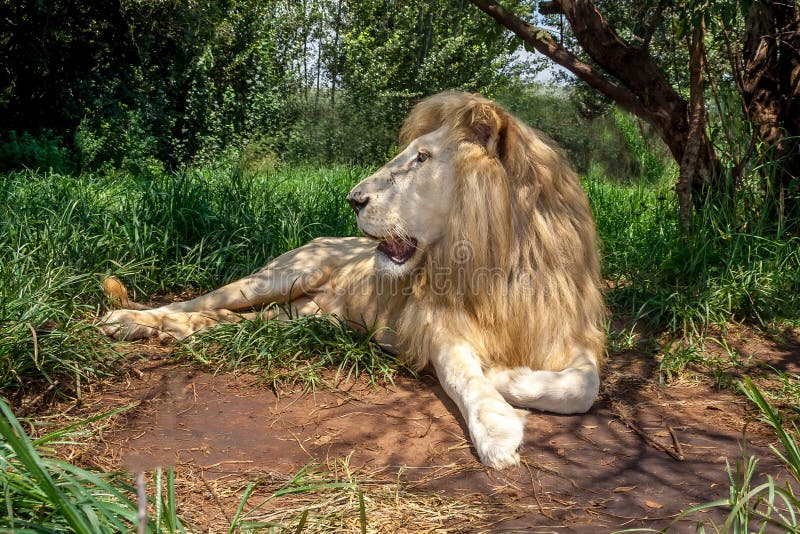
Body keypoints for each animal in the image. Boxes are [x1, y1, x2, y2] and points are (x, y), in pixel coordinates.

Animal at [100, 91, 606, 469]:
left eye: (422, 159)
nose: (353, 199)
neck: (498, 264)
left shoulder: (570, 333)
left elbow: (583, 387)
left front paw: (509, 376)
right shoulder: (439, 329)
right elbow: (463, 375)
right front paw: (496, 424)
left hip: (298, 317)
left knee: (228, 320)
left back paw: (178, 332)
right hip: (286, 273)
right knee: (194, 302)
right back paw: (127, 321)